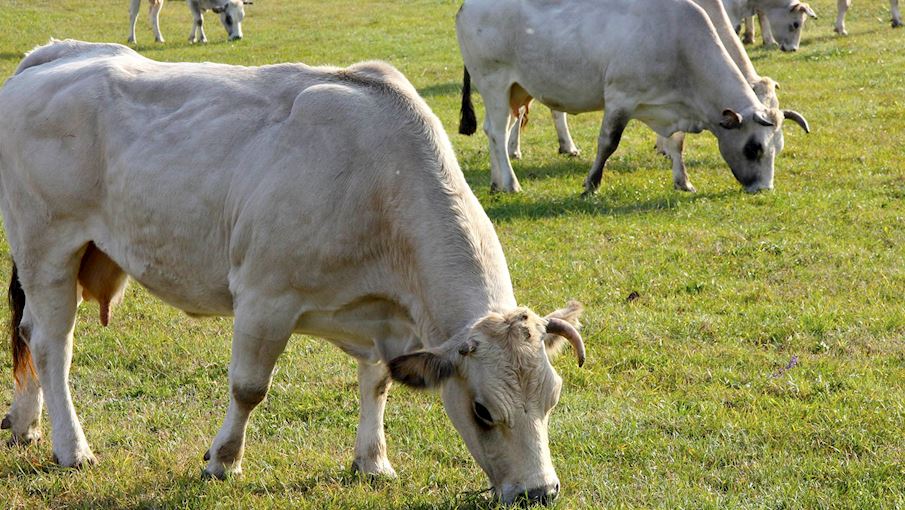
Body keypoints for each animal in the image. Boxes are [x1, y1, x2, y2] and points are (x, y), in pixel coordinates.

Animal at [0, 39, 586, 506]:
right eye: (483, 411)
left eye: (553, 398)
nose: (540, 491)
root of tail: (57, 54)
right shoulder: (265, 297)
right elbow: (248, 388)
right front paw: (223, 460)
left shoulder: (384, 319)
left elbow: (377, 382)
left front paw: (373, 462)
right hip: (48, 246)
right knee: (51, 346)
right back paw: (72, 447)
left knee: (27, 333)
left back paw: (26, 424)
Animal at [457, 0, 811, 195]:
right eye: (754, 148)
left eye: (777, 148)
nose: (763, 188)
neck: (679, 43)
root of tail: (467, 6)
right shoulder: (620, 98)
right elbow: (608, 143)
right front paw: (591, 183)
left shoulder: (673, 106)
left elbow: (676, 144)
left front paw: (683, 182)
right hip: (493, 82)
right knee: (495, 131)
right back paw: (511, 183)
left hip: (516, 89)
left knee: (499, 131)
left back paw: (496, 181)